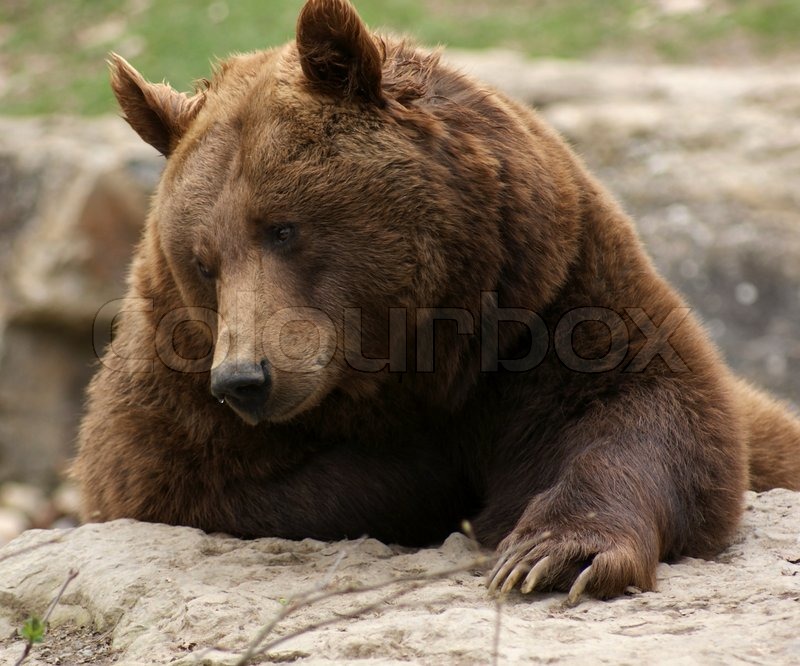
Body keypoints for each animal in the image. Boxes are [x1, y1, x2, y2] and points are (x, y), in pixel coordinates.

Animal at [72, 0, 800, 603]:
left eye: (283, 228)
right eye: (202, 261)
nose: (245, 379)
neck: (416, 349)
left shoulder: (549, 292)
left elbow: (650, 410)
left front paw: (552, 555)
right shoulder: (176, 386)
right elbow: (184, 485)